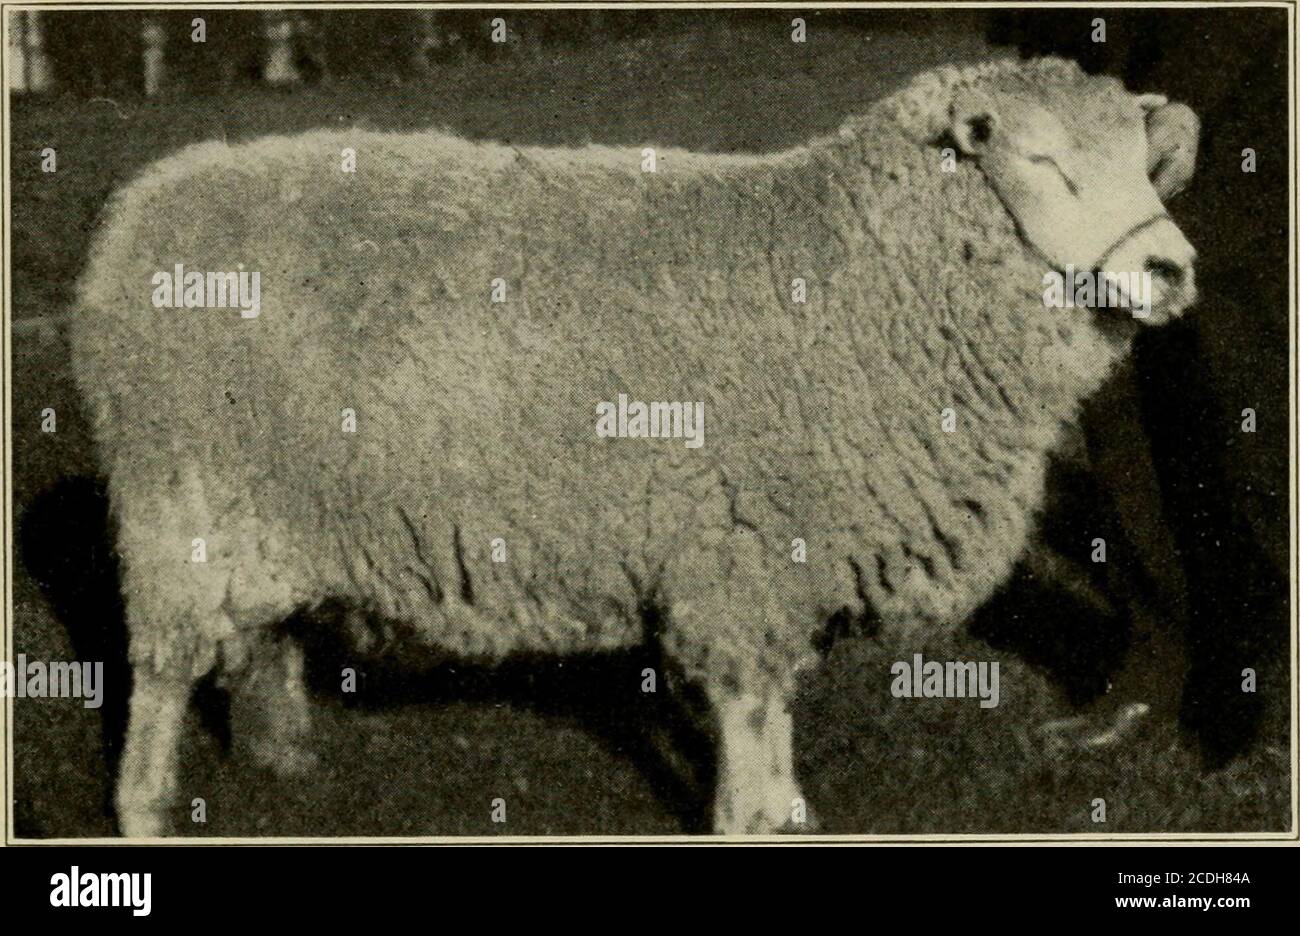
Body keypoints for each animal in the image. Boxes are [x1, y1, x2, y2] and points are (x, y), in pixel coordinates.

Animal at [68, 56, 1200, 837]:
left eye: (1148, 168)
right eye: (1041, 161)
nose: (1172, 269)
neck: (849, 273)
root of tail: (144, 204)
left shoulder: (765, 570)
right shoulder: (741, 565)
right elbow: (752, 740)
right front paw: (759, 818)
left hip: (278, 499)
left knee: (262, 638)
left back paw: (282, 757)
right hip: (176, 501)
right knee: (163, 672)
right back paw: (145, 807)